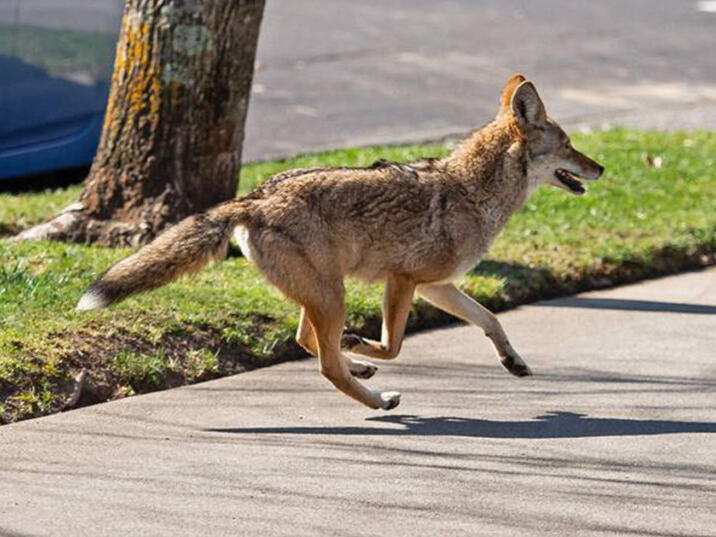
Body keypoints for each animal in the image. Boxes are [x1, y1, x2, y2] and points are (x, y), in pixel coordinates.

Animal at [77, 74, 604, 410]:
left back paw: (361, 372)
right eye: (569, 145)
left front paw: (513, 362)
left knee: (307, 341)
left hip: (322, 295)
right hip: (334, 295)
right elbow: (393, 346)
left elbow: (491, 319)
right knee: (326, 363)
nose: (601, 168)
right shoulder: (403, 280)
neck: (472, 191)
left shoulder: (438, 286)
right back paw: (376, 396)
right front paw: (367, 347)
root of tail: (254, 197)